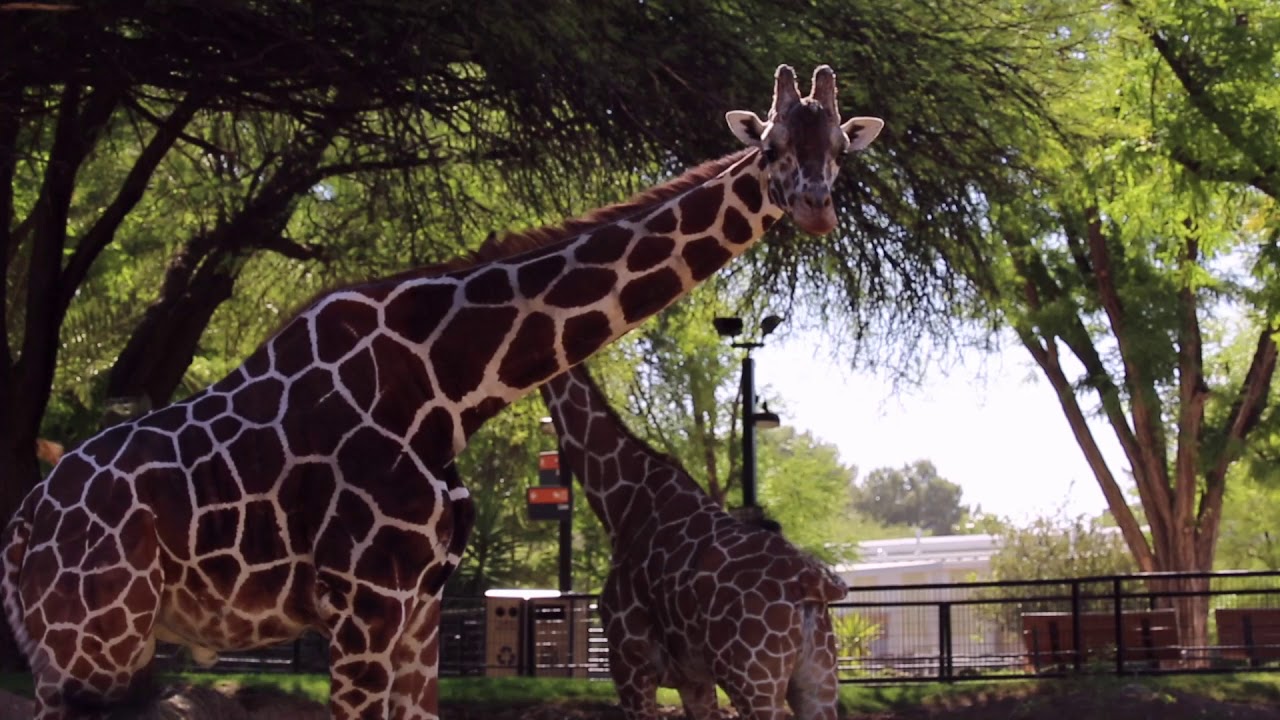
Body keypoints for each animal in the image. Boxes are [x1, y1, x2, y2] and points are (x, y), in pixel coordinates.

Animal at [540, 364, 848, 720]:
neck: (622, 505)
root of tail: (812, 583)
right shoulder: (693, 680)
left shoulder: (630, 665)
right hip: (818, 680)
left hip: (754, 683)